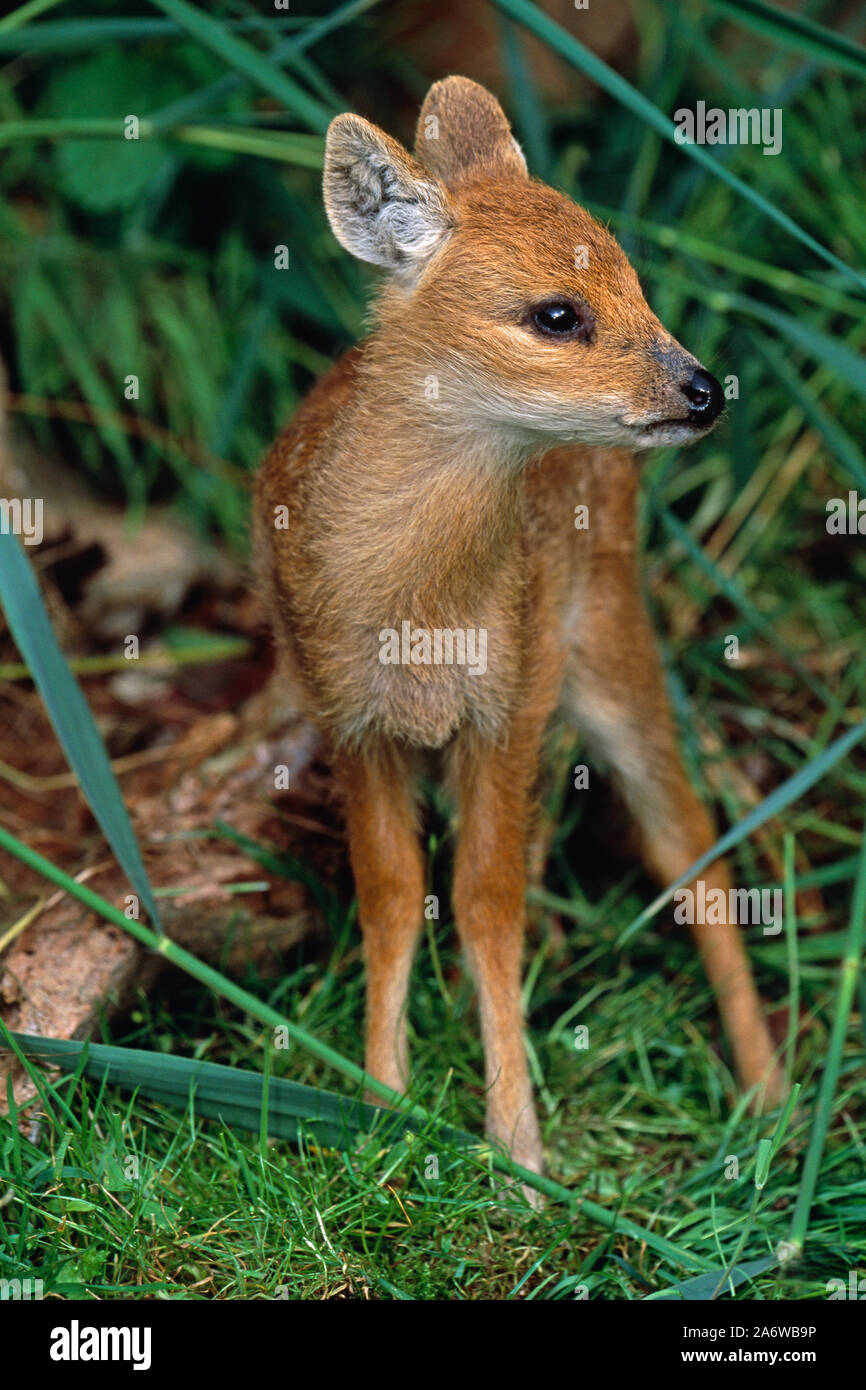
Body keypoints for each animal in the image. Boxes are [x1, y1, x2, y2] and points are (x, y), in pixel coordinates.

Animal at [254, 76, 783, 1185]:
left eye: (634, 281)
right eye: (555, 313)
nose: (702, 389)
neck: (414, 606)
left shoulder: (504, 701)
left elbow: (488, 905)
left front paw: (521, 1157)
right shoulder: (350, 720)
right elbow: (393, 898)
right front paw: (383, 1115)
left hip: (603, 641)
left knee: (690, 841)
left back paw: (771, 1104)